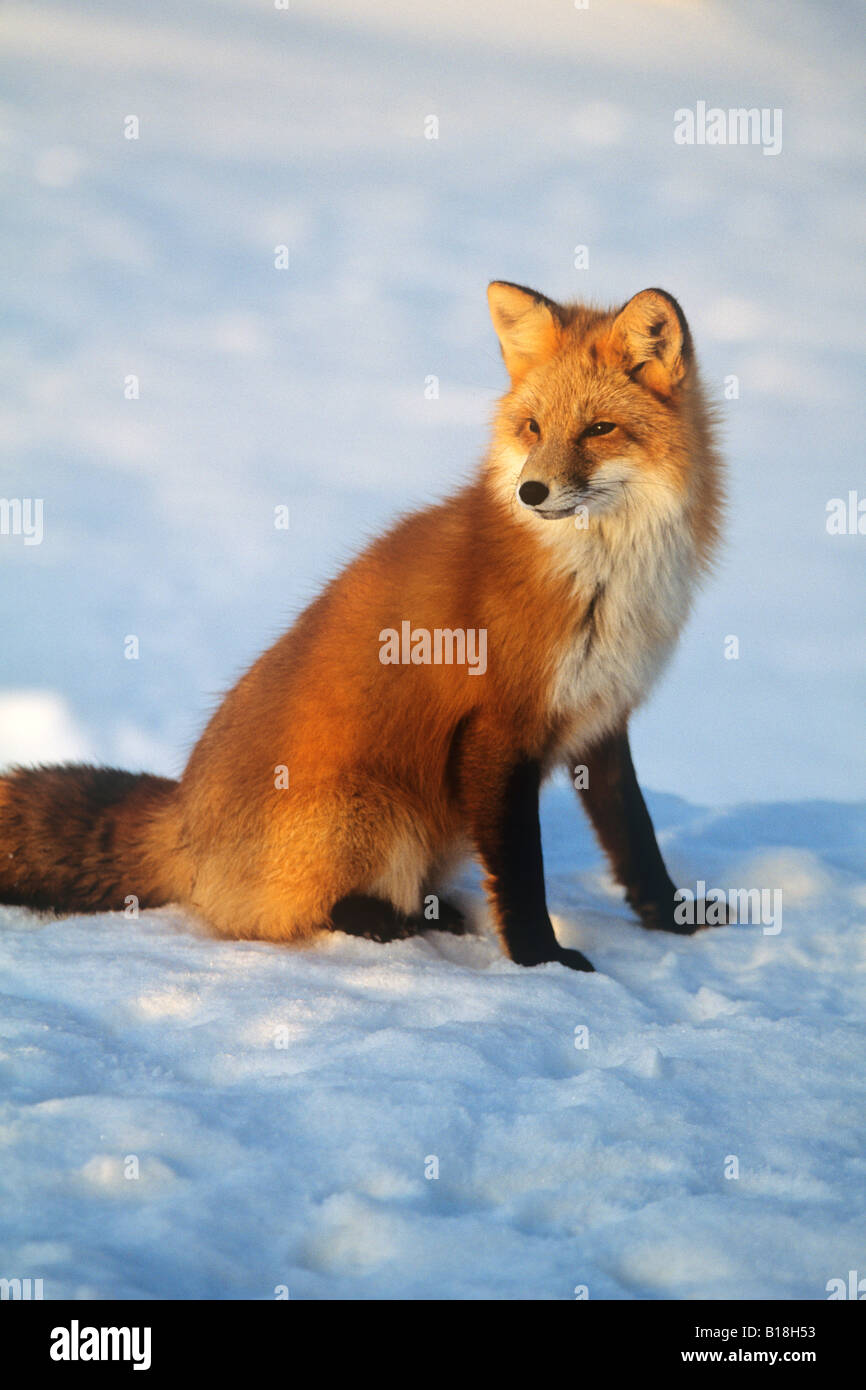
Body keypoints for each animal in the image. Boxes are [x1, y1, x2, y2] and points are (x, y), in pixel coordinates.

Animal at [0, 283, 724, 972]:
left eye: (600, 429)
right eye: (533, 427)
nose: (531, 493)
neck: (601, 581)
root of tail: (182, 820)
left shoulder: (601, 716)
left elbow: (636, 837)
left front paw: (673, 920)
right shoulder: (500, 730)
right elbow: (522, 874)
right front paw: (541, 961)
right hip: (381, 810)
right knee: (315, 912)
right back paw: (394, 922)